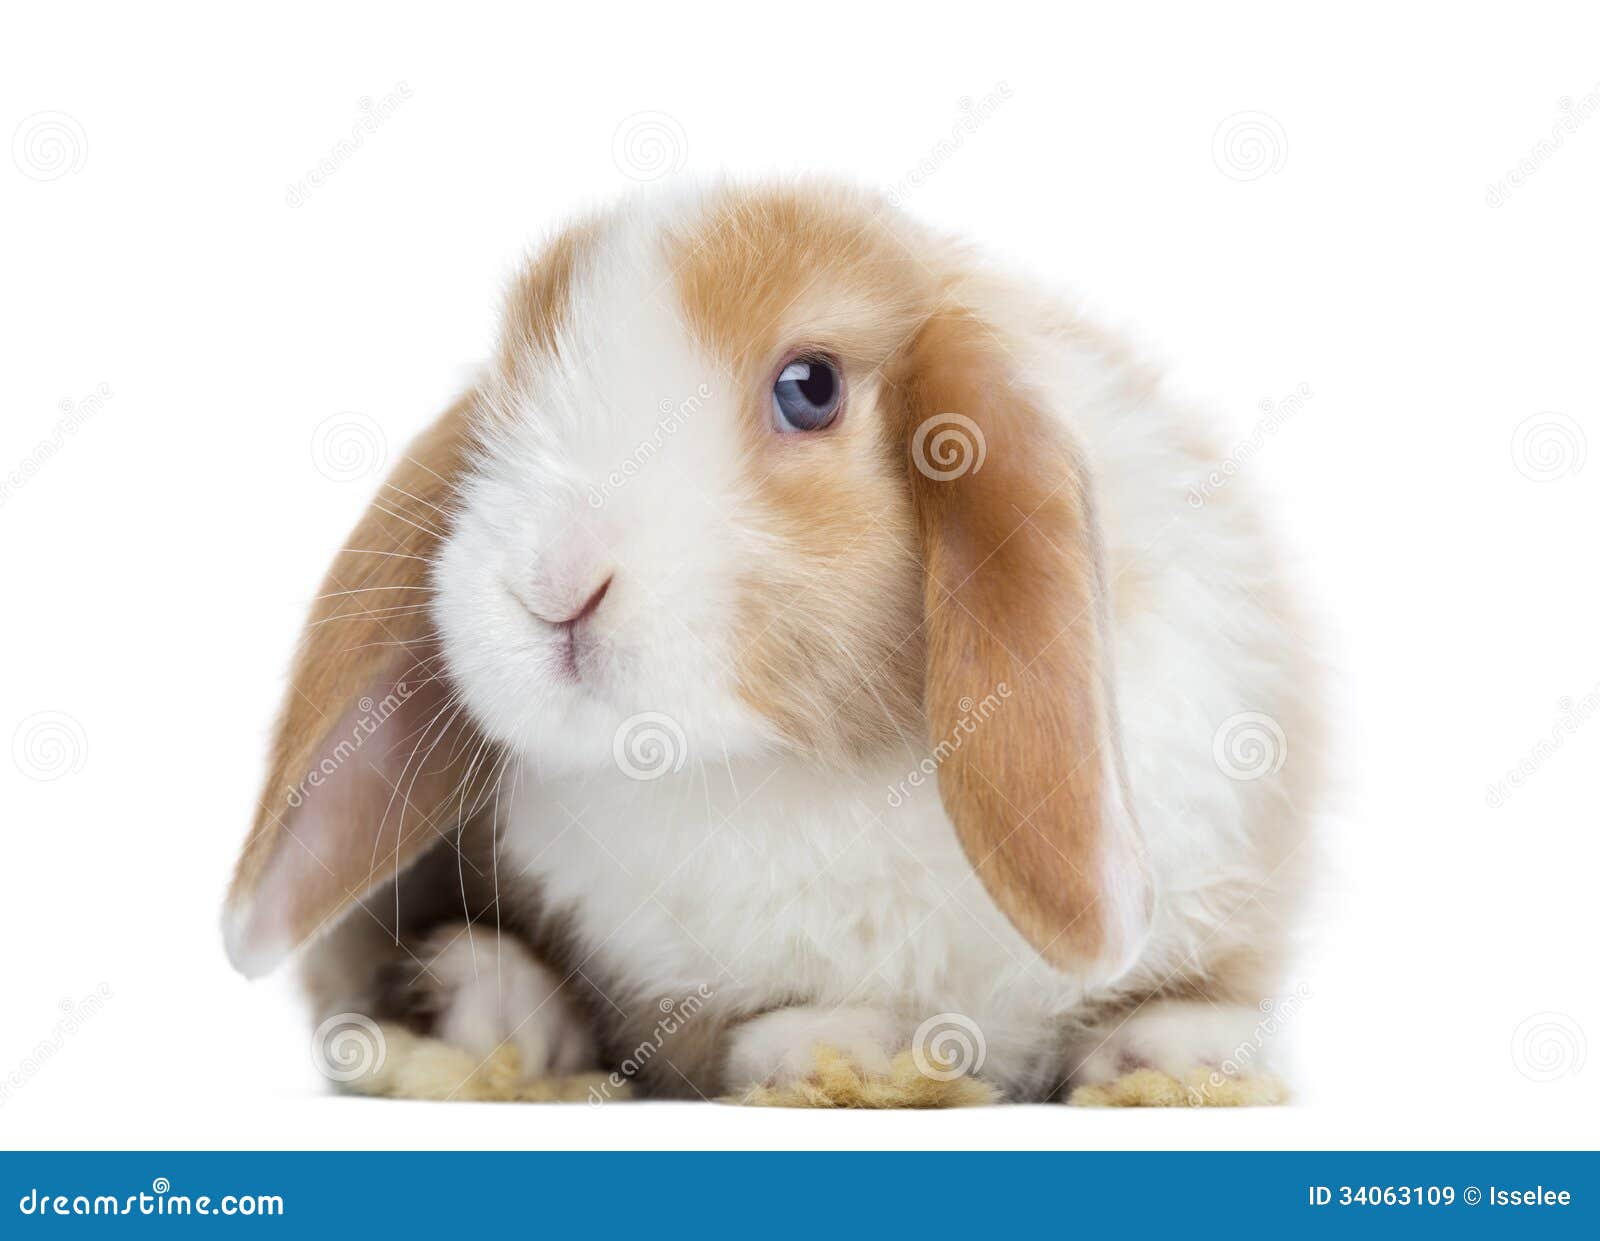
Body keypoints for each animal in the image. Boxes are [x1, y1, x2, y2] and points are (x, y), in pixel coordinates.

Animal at [222, 178, 1318, 1103]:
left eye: (810, 387)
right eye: (505, 397)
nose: (552, 582)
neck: (794, 767)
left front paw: (1171, 1052)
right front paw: (842, 1048)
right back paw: (490, 1016)